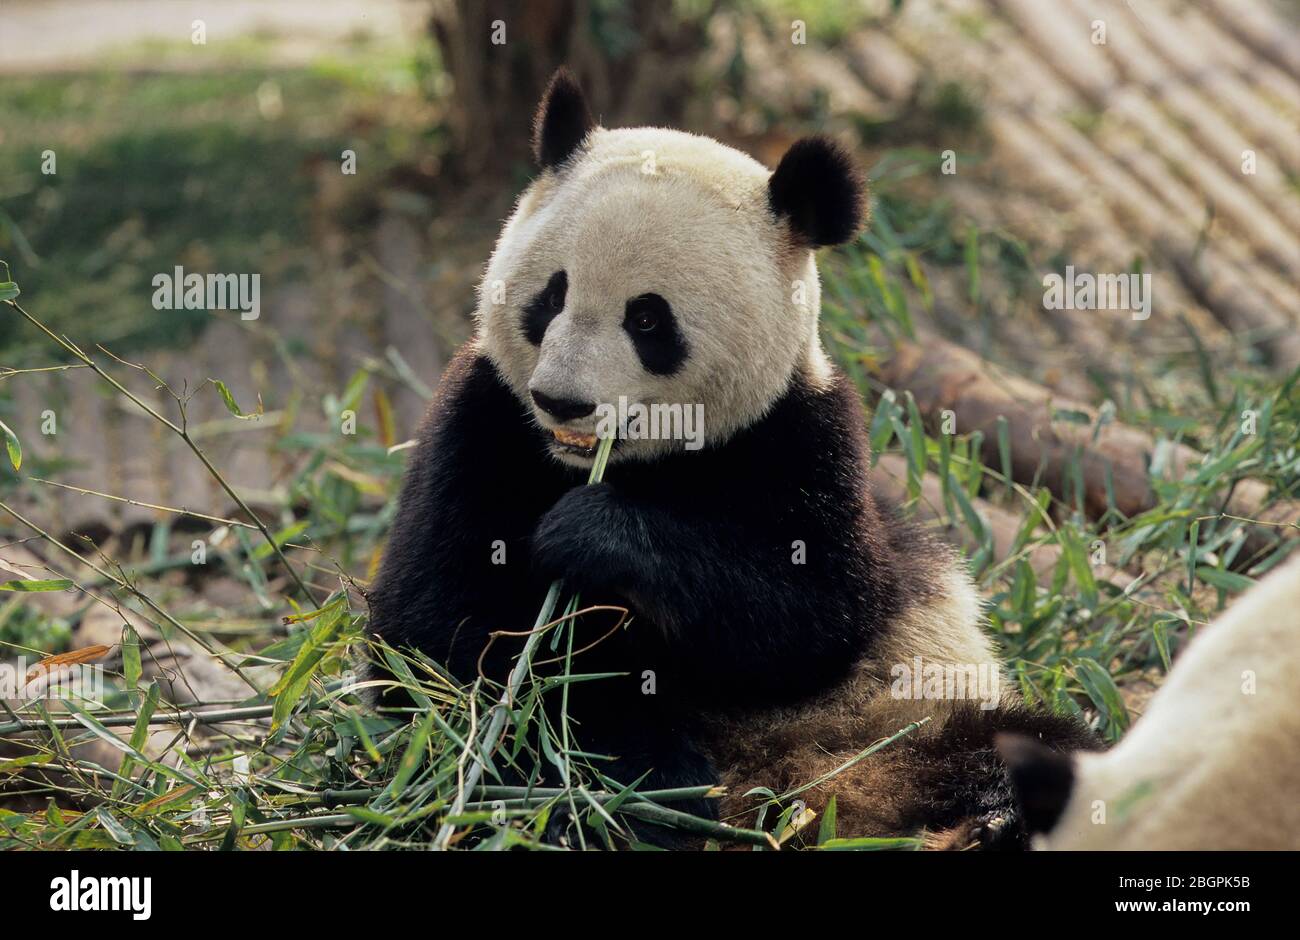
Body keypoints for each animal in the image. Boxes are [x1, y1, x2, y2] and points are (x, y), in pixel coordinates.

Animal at [366, 67, 1096, 849]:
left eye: (647, 318)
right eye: (551, 295)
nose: (561, 401)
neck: (627, 464)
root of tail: (816, 795)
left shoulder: (802, 434)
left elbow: (815, 613)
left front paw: (593, 535)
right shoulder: (484, 417)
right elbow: (440, 637)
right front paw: (638, 765)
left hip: (912, 719)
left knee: (1038, 750)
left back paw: (988, 819)